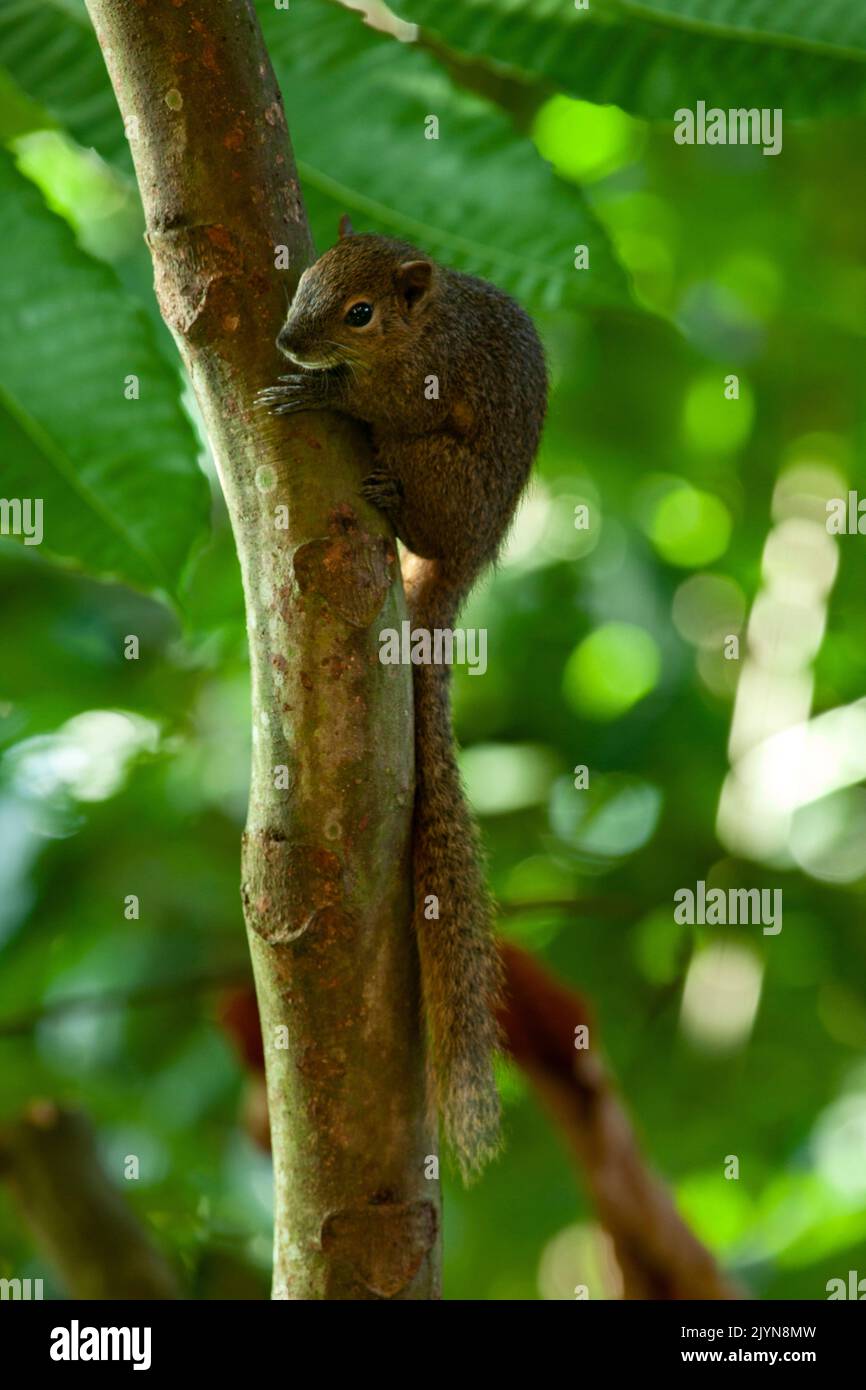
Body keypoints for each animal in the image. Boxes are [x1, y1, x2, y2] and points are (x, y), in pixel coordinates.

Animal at [259, 221, 547, 1180]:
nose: (288, 340)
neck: (417, 330)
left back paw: (387, 487)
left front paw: (318, 393)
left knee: (409, 477)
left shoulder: (420, 387)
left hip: (438, 472)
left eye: (360, 312)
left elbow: (373, 403)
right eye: (306, 278)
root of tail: (467, 559)